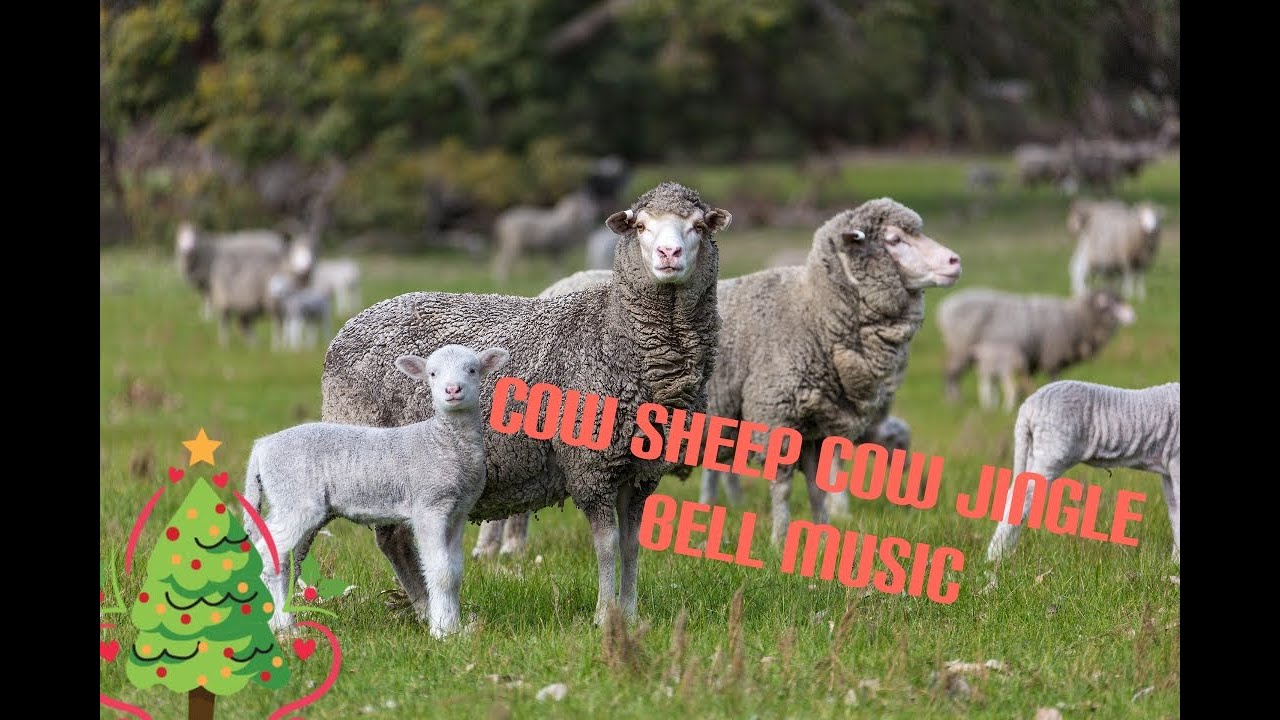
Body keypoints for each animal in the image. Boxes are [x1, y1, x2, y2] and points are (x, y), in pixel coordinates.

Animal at [244, 344, 510, 637]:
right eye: (432, 373)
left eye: (472, 370)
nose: (452, 390)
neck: (443, 441)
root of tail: (262, 446)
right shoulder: (429, 507)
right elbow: (439, 572)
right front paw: (440, 632)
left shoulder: (457, 512)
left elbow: (454, 573)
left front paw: (454, 629)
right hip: (296, 498)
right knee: (270, 556)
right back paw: (286, 627)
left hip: (286, 501)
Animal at [321, 181, 731, 623]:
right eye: (640, 226)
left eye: (698, 226)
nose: (669, 254)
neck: (611, 332)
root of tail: (348, 328)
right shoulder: (590, 464)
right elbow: (606, 544)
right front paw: (605, 616)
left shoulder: (639, 471)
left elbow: (630, 544)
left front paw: (630, 615)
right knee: (390, 537)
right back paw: (425, 608)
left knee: (394, 536)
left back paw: (425, 608)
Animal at [937, 287, 1137, 411]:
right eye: (1111, 304)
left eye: (1121, 301)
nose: (1132, 316)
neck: (1077, 318)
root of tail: (944, 308)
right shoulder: (1053, 358)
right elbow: (1054, 379)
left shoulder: (1032, 361)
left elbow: (1029, 381)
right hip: (960, 348)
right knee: (951, 375)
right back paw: (955, 402)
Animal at [986, 380, 1180, 564]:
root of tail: (1028, 407)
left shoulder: (1169, 466)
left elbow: (1174, 511)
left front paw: (1174, 562)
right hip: (1051, 450)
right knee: (1023, 495)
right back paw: (994, 558)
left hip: (1033, 451)